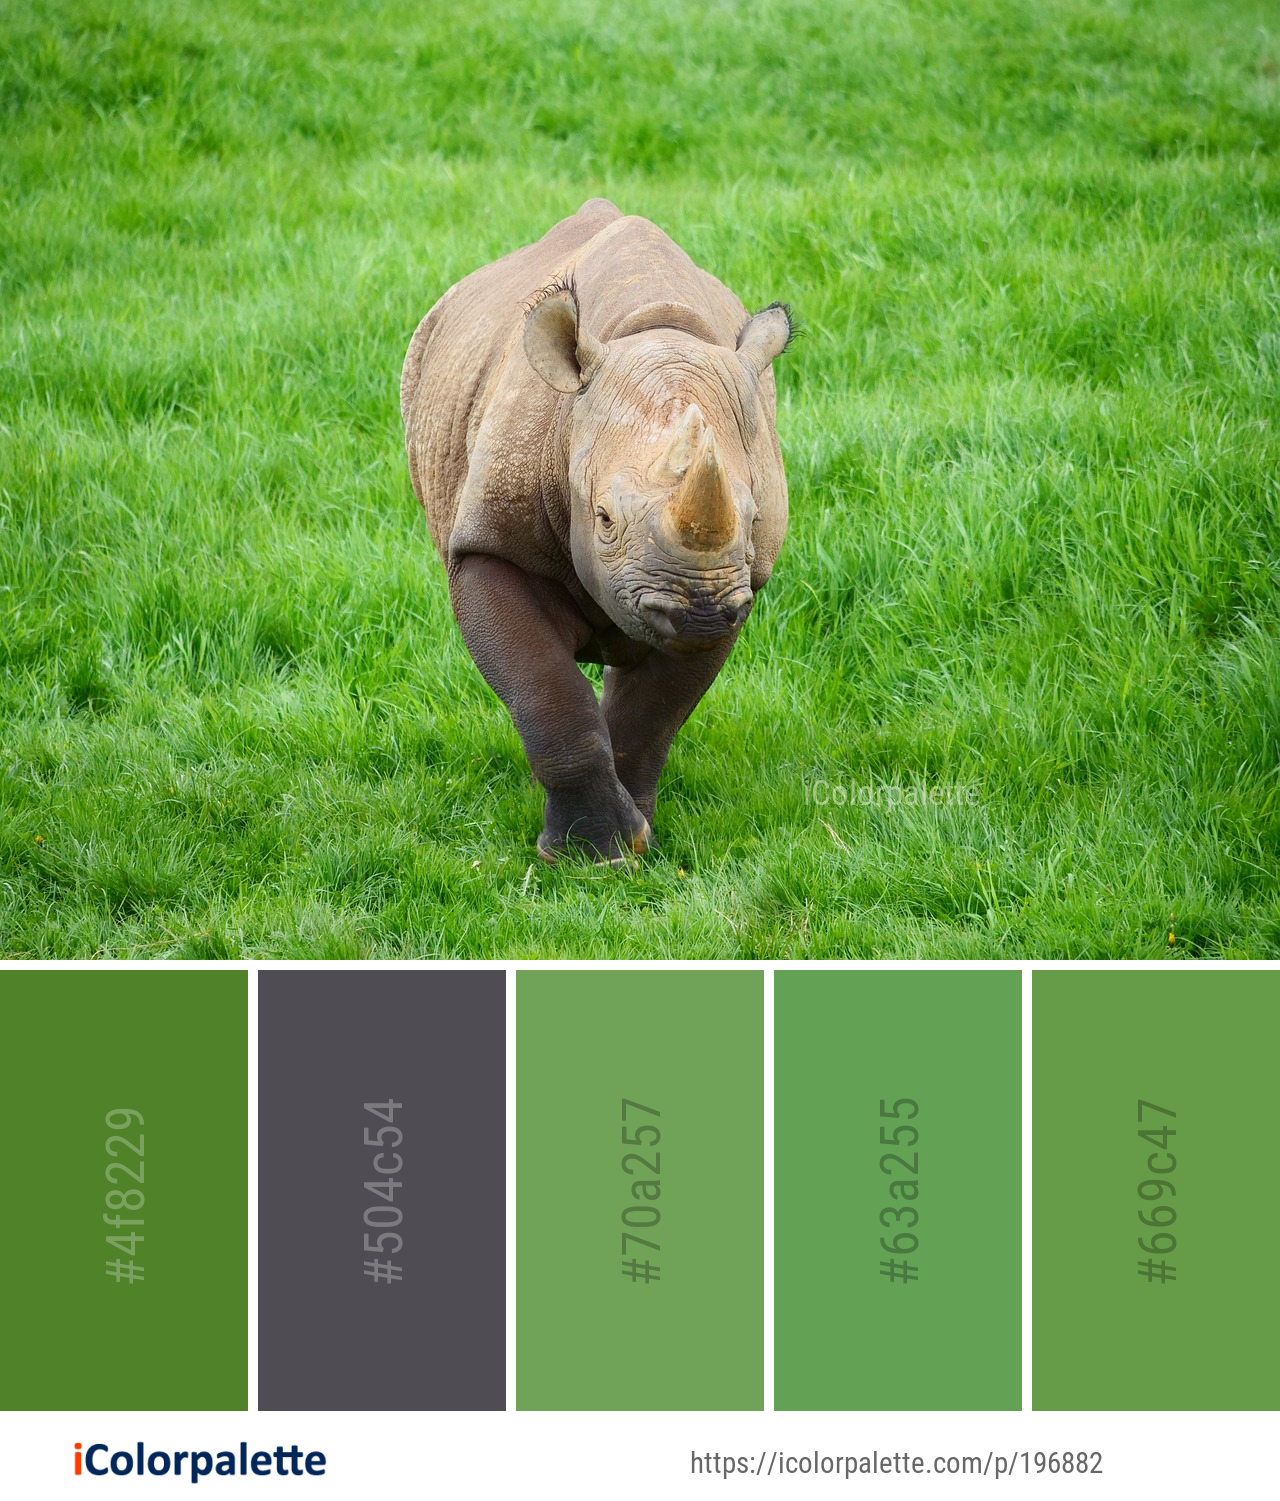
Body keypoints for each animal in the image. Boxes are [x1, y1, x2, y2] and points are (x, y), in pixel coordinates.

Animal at [400, 198, 791, 862]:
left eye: (755, 517)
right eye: (604, 518)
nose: (698, 612)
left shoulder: (737, 584)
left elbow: (653, 714)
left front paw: (633, 840)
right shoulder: (489, 547)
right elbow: (546, 692)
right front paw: (590, 855)